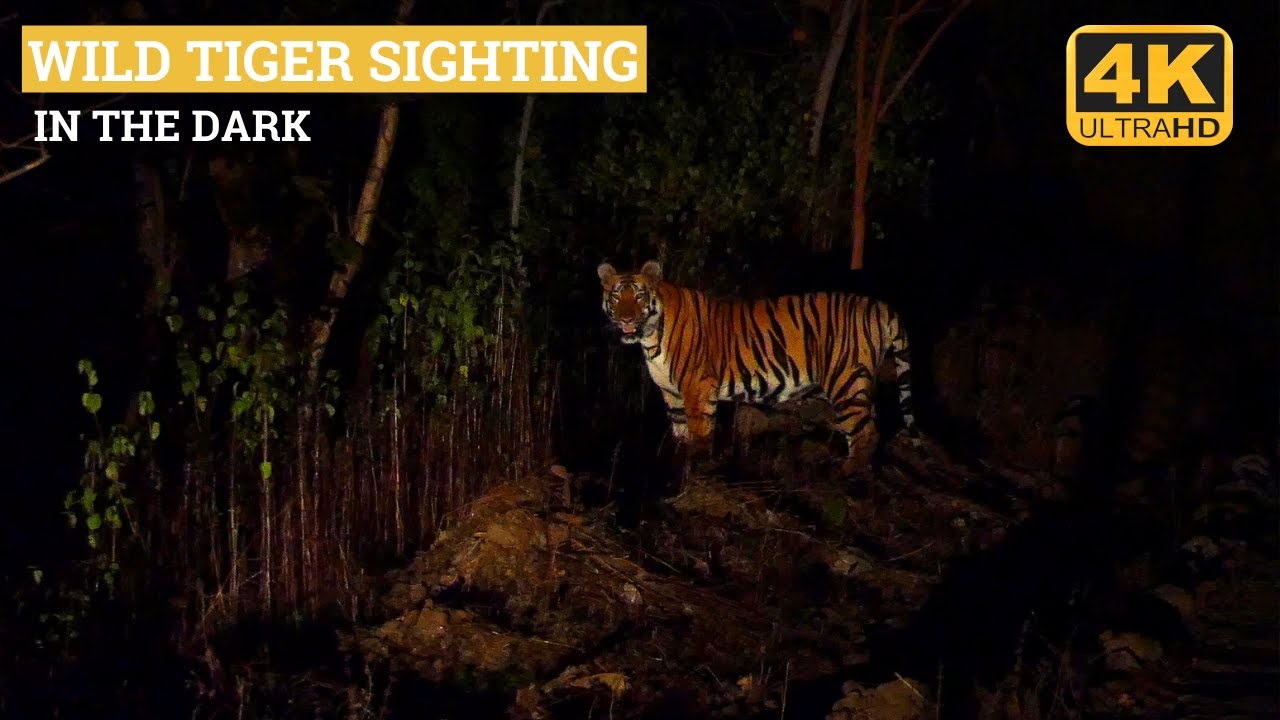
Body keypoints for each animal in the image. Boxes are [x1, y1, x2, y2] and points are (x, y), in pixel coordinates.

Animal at [597, 260, 917, 461]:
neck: (650, 337)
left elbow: (700, 436)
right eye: (617, 297)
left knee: (866, 435)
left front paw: (697, 472)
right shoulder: (671, 393)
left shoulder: (697, 388)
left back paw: (847, 478)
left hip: (845, 380)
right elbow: (680, 435)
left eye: (639, 296)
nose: (626, 319)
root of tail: (880, 305)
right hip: (858, 384)